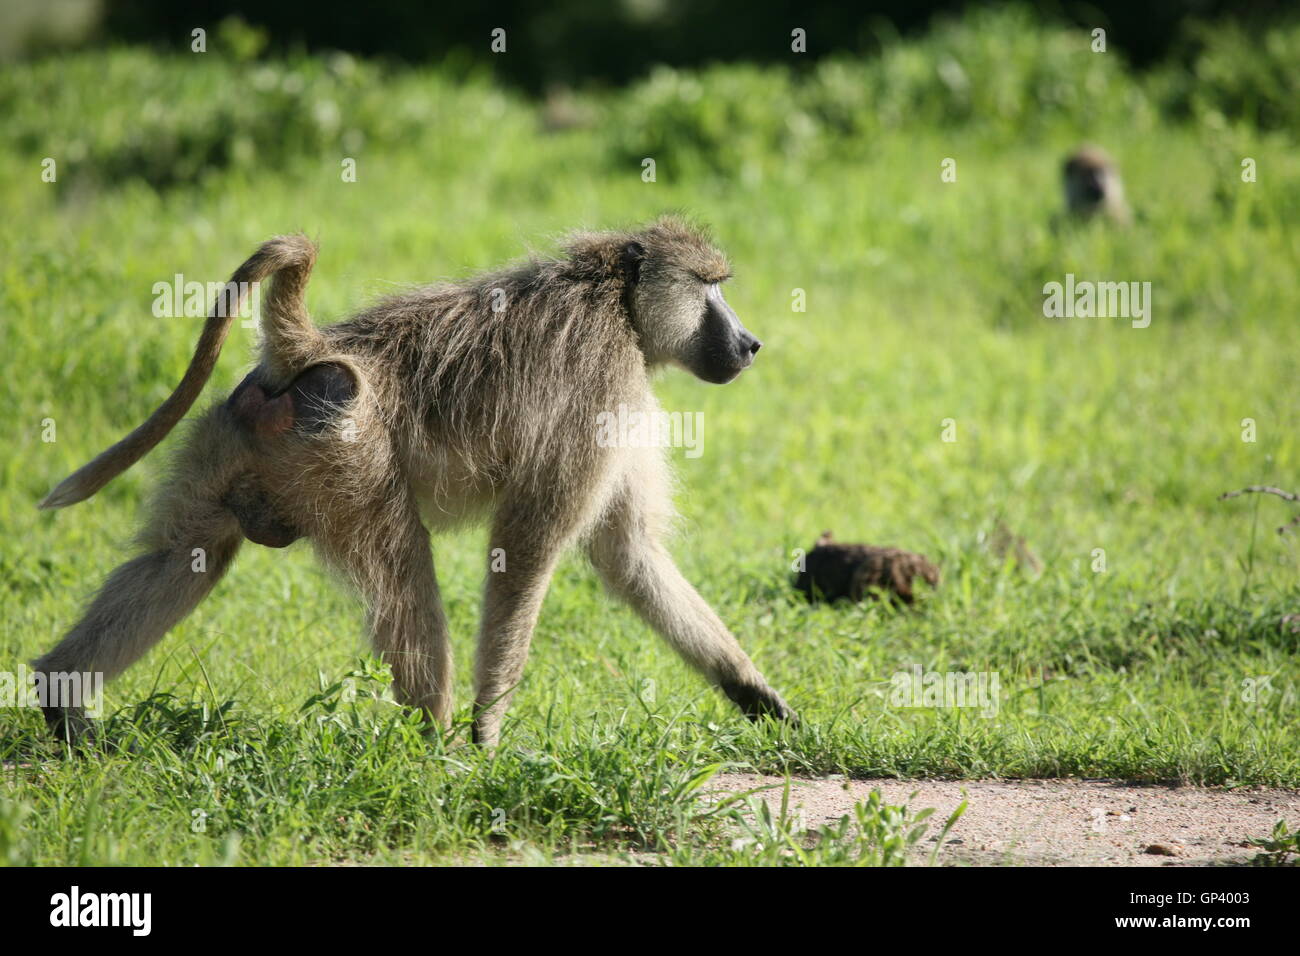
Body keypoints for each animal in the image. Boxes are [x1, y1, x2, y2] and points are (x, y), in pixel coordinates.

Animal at [33, 217, 796, 748]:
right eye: (710, 288)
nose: (752, 343)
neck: (615, 299)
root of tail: (313, 351)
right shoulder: (603, 381)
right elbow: (528, 548)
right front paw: (488, 730)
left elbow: (629, 553)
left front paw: (756, 695)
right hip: (349, 461)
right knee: (404, 573)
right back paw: (433, 743)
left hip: (232, 440)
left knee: (182, 560)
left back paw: (61, 702)